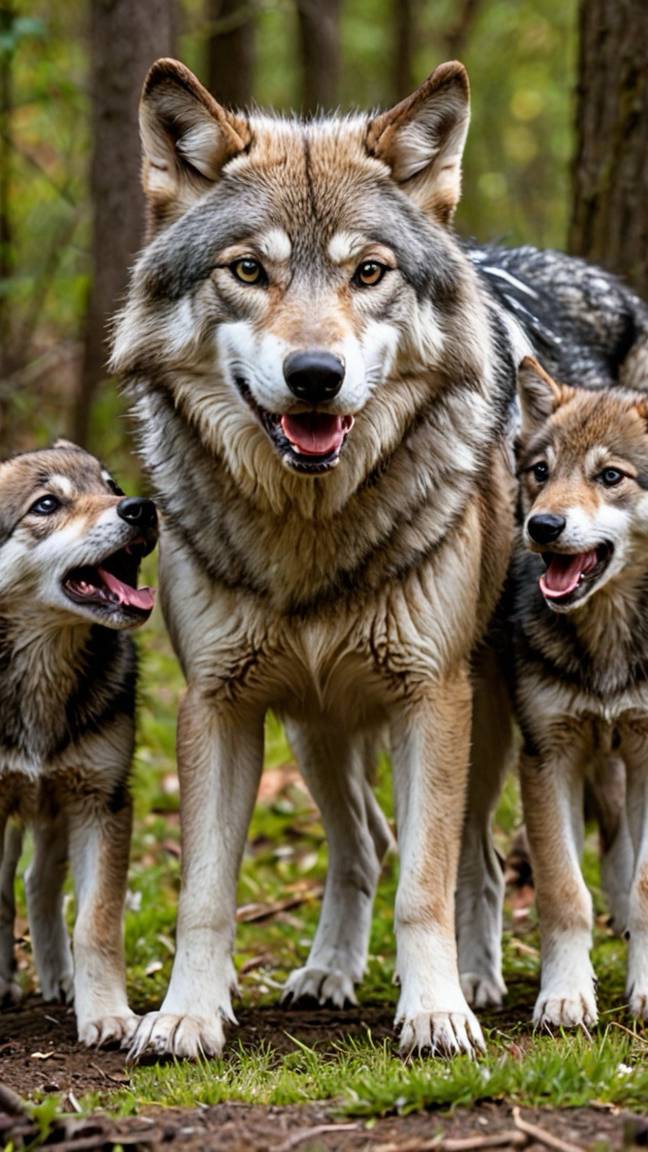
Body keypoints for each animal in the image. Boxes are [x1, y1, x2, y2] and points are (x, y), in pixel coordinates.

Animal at [0, 442, 157, 1045]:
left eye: (112, 487)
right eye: (47, 504)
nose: (142, 507)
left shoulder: (101, 801)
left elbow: (97, 924)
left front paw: (107, 1014)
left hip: (54, 810)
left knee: (37, 883)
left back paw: (58, 980)